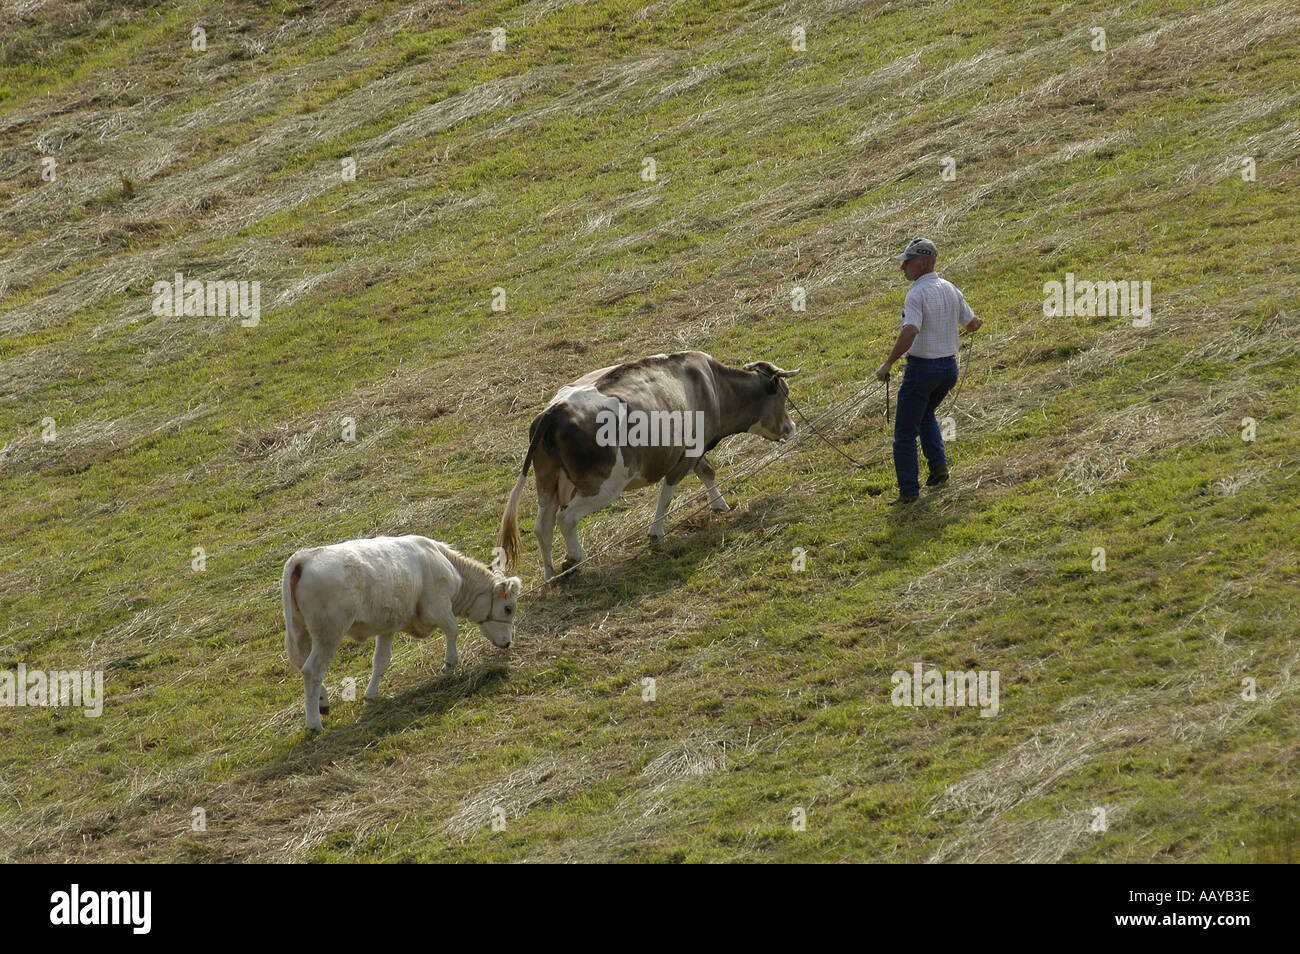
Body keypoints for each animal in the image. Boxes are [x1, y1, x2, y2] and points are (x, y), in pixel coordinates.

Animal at [281, 535, 523, 731]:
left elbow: (381, 661)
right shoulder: (436, 607)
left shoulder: (387, 627)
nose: (508, 643)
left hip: (302, 632)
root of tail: (304, 557)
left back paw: (322, 703)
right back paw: (314, 724)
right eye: (508, 608)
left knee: (304, 665)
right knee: (312, 670)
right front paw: (449, 664)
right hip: (329, 633)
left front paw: (371, 696)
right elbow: (453, 629)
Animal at [498, 351, 799, 581]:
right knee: (566, 517)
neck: (712, 385)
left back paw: (551, 575)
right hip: (602, 486)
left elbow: (707, 473)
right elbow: (667, 495)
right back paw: (573, 560)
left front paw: (720, 505)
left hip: (546, 482)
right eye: (783, 395)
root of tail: (553, 412)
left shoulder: (693, 451)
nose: (792, 427)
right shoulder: (685, 455)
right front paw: (656, 533)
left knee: (543, 526)